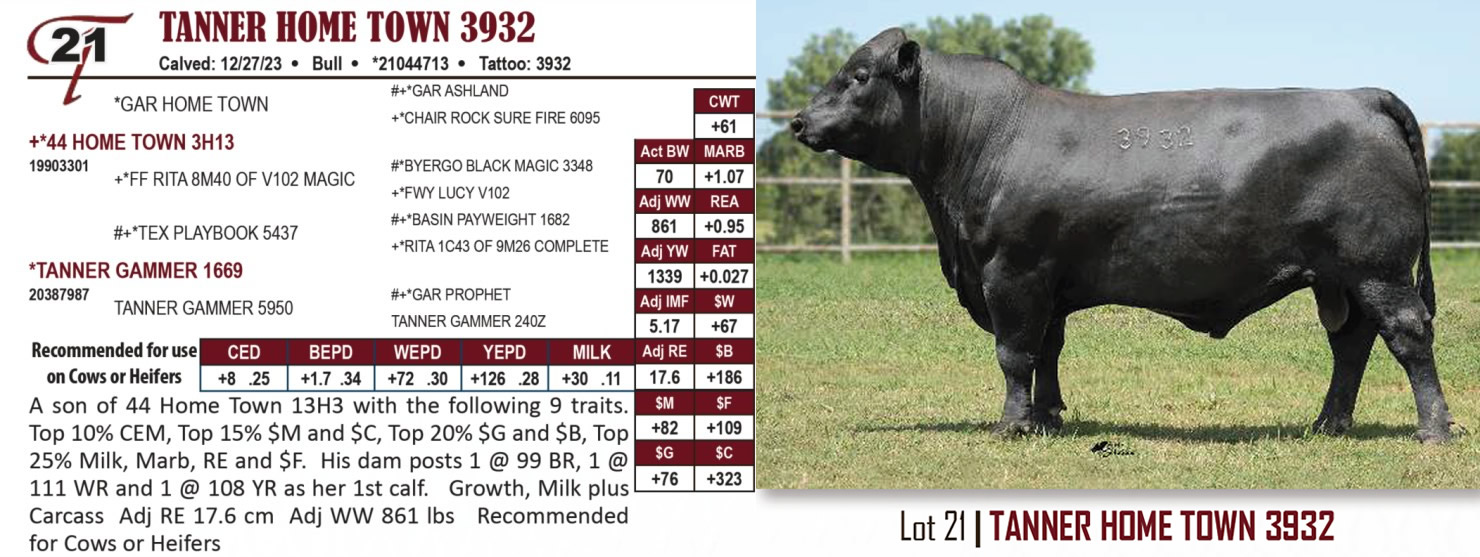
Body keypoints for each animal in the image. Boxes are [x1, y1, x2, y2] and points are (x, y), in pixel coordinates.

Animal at [791, 28, 1454, 442]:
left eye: (858, 75)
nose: (799, 121)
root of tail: (1363, 96)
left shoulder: (1011, 272)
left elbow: (1014, 352)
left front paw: (1012, 425)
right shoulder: (1048, 282)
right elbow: (1048, 350)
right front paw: (1048, 418)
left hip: (1378, 269)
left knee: (1408, 335)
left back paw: (1434, 429)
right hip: (1338, 277)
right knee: (1350, 343)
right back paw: (1328, 424)